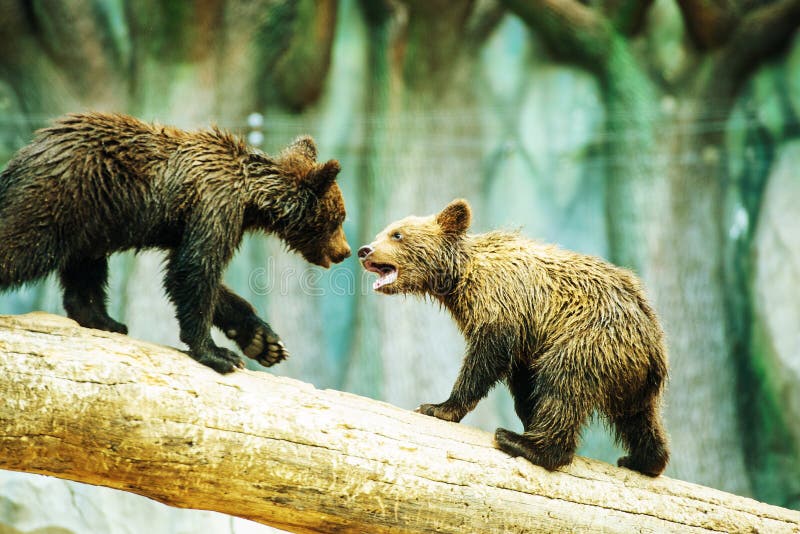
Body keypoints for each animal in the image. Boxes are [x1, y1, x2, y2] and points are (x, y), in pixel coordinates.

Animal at [0, 112, 351, 373]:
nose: (345, 252)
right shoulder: (215, 204)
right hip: (57, 197)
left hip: (94, 218)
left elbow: (195, 274)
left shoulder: (196, 222)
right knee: (20, 243)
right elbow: (195, 270)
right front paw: (219, 353)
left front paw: (265, 342)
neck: (251, 198)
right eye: (339, 219)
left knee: (86, 269)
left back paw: (105, 320)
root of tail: (27, 151)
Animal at [358, 199, 669, 476]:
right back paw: (644, 460)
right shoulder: (528, 340)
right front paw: (527, 416)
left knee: (563, 386)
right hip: (630, 374)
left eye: (397, 234)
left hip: (589, 340)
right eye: (384, 230)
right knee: (638, 417)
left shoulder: (504, 307)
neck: (459, 277)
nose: (365, 250)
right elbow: (522, 384)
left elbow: (485, 359)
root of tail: (652, 344)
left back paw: (525, 444)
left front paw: (439, 407)